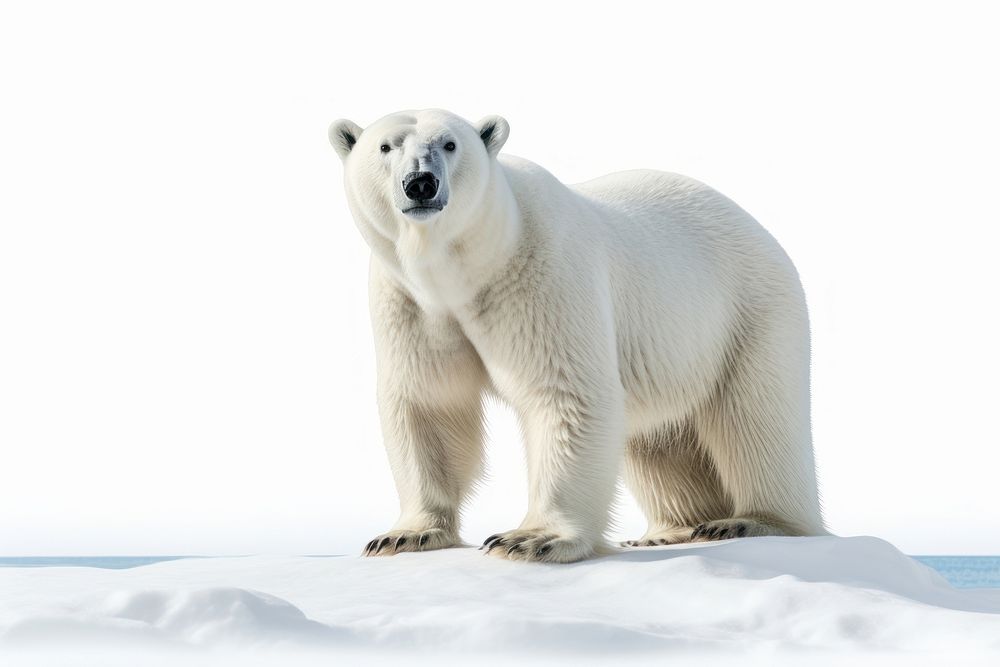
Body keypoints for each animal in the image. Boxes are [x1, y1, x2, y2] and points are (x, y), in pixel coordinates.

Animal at [328, 109, 825, 563]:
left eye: (450, 144)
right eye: (385, 146)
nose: (421, 183)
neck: (466, 270)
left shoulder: (541, 275)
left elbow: (566, 393)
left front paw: (529, 539)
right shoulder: (412, 305)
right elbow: (429, 403)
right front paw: (404, 535)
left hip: (749, 314)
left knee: (757, 417)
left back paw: (750, 521)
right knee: (660, 443)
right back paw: (671, 530)